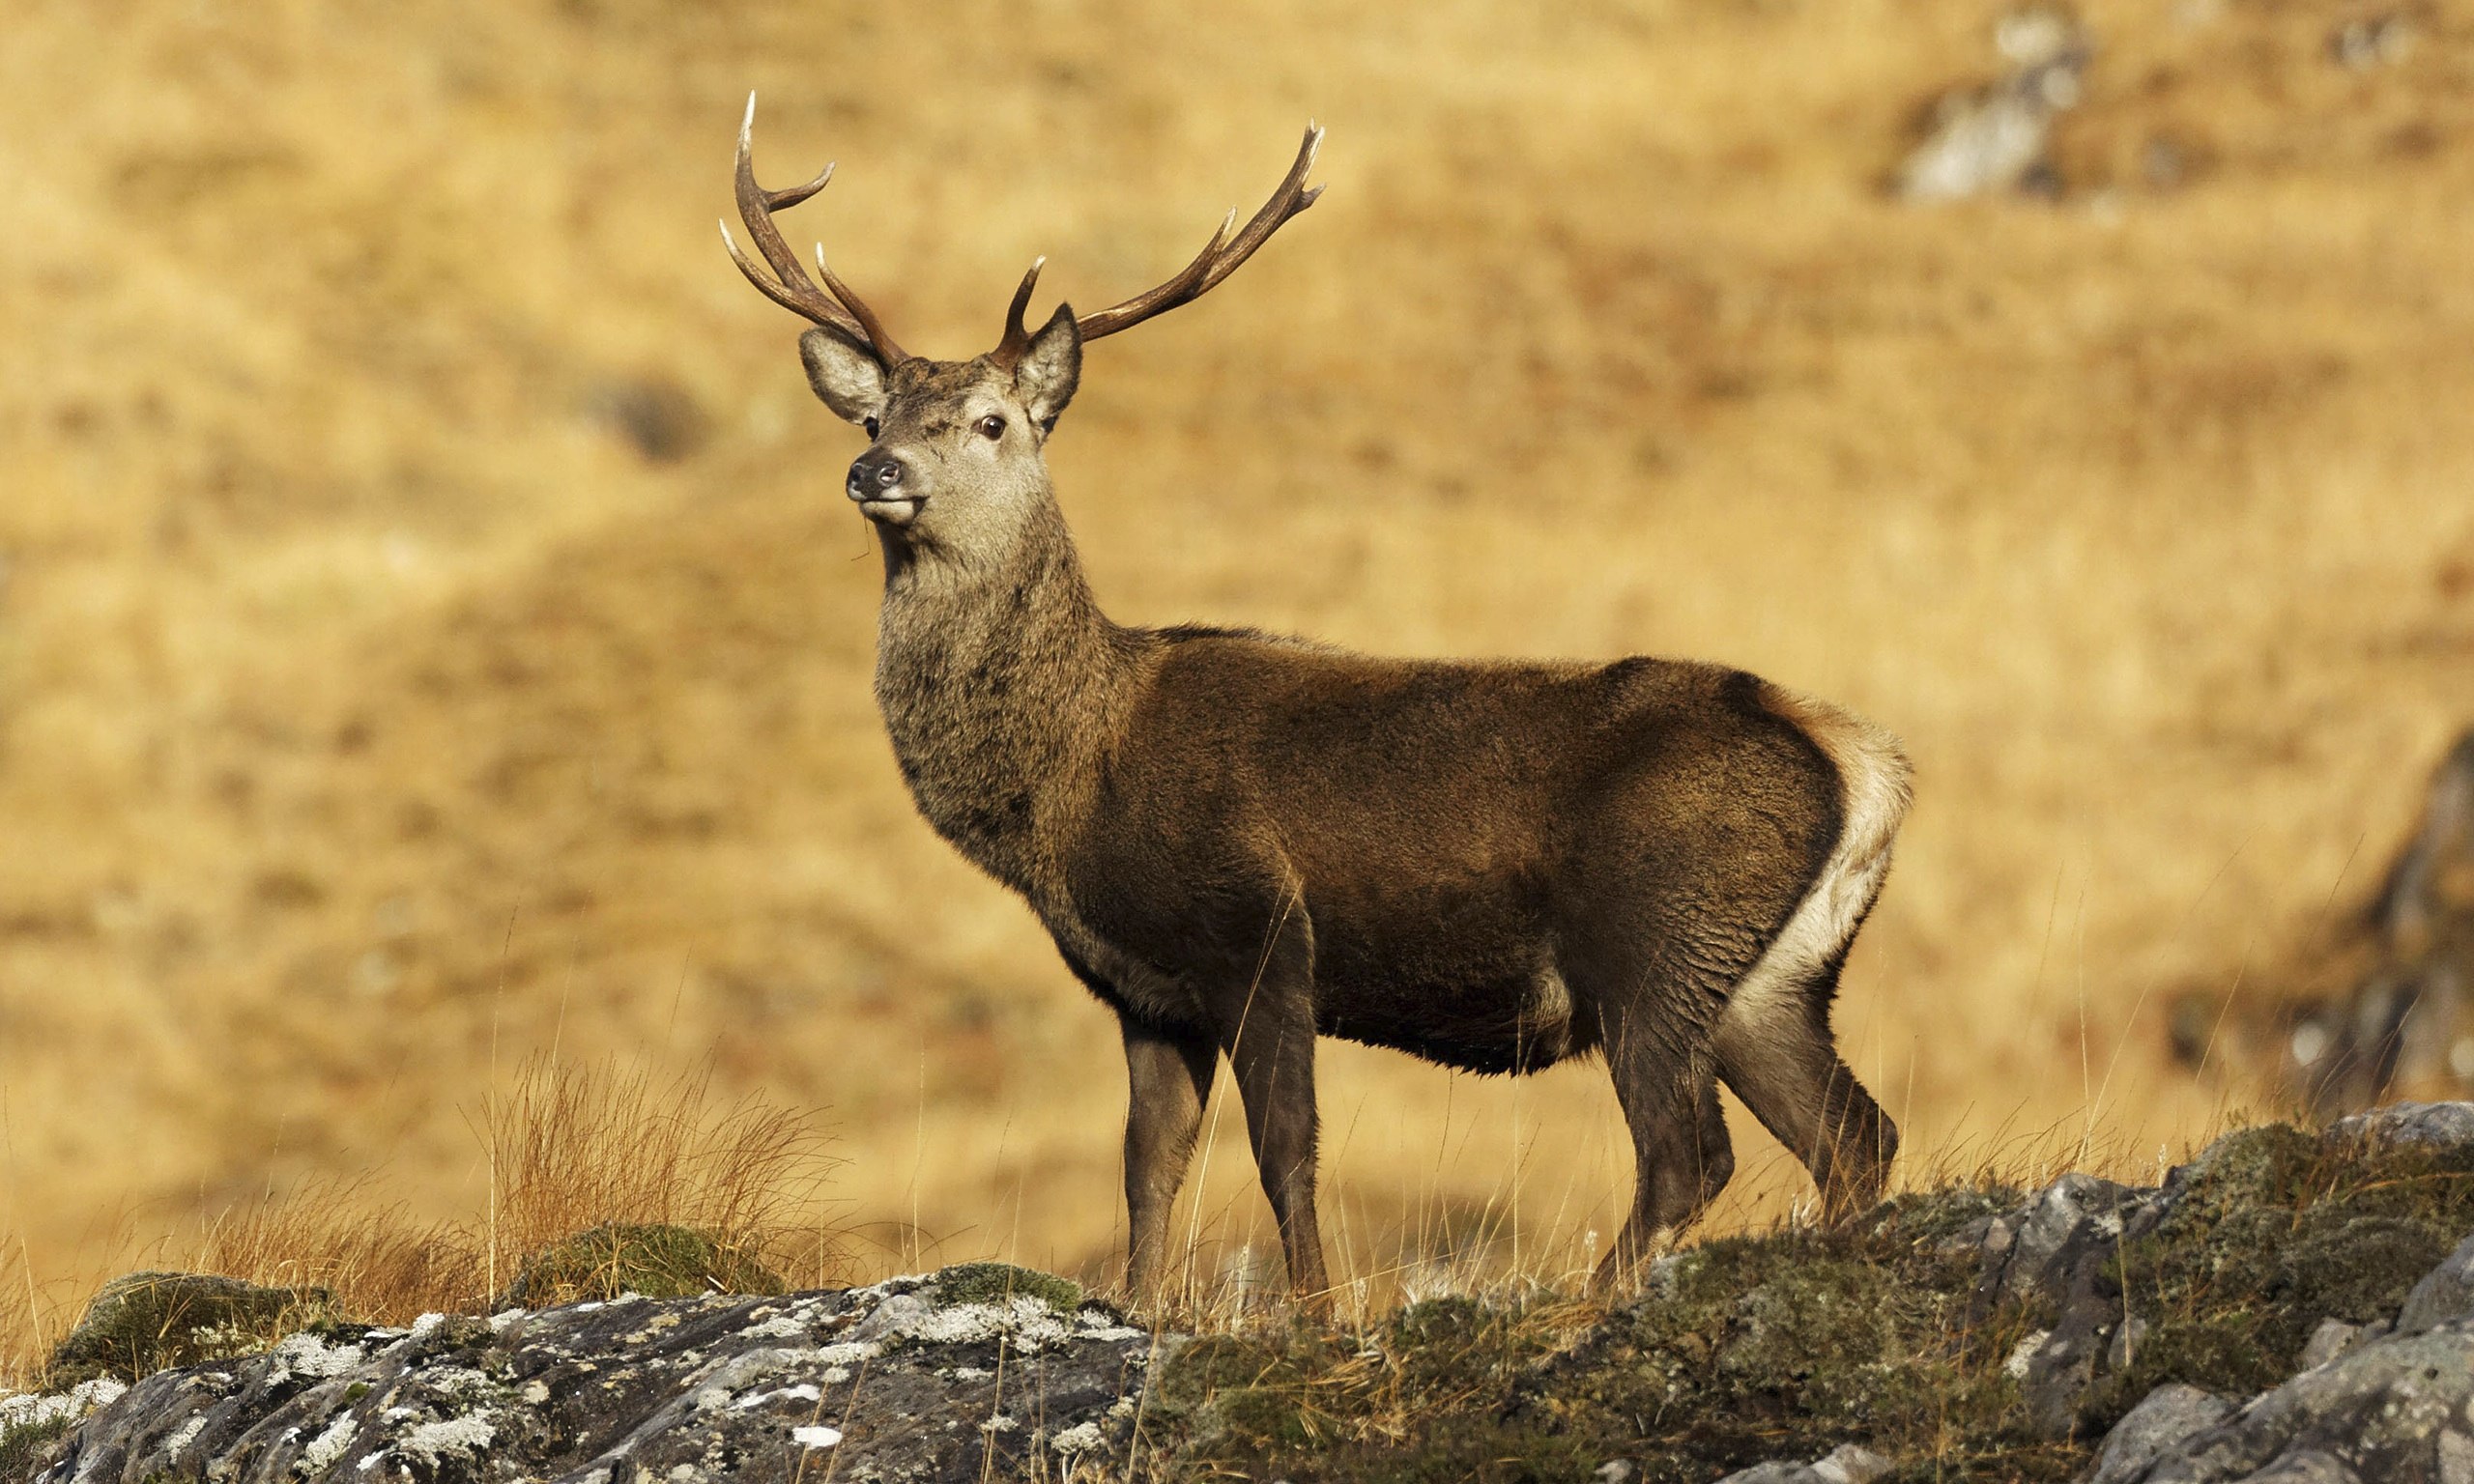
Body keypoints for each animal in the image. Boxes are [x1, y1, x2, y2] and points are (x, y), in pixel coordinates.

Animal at [722, 98, 1913, 1306]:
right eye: (872, 419)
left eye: (990, 421)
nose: (875, 474)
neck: (1071, 780)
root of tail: (1860, 761)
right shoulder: (1142, 992)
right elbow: (1148, 1165)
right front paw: (1143, 1307)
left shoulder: (1258, 929)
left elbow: (1283, 1148)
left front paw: (1315, 1315)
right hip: (1771, 978)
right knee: (1855, 1137)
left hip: (1654, 938)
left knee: (1688, 1153)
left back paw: (1582, 1305)